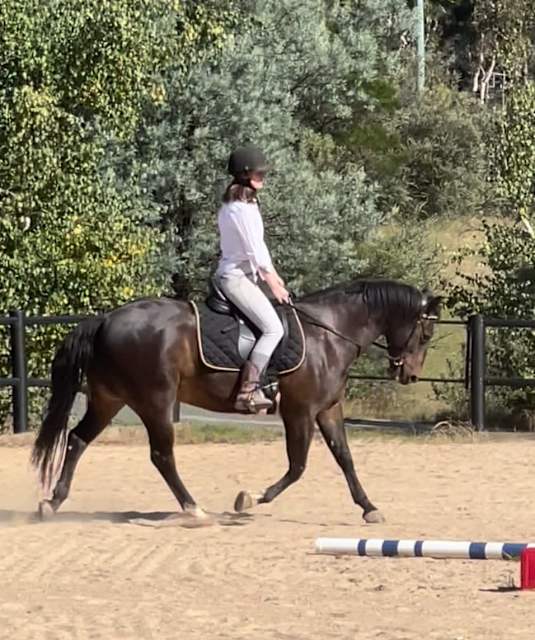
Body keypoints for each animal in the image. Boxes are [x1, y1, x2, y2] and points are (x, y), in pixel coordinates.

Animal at [32, 278, 441, 523]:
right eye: (426, 333)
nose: (410, 375)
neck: (329, 334)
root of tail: (104, 319)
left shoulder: (327, 409)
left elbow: (345, 458)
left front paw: (370, 508)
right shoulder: (300, 411)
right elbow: (298, 466)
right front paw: (251, 498)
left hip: (109, 399)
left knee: (77, 440)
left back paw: (52, 502)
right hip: (155, 401)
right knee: (161, 455)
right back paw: (193, 508)